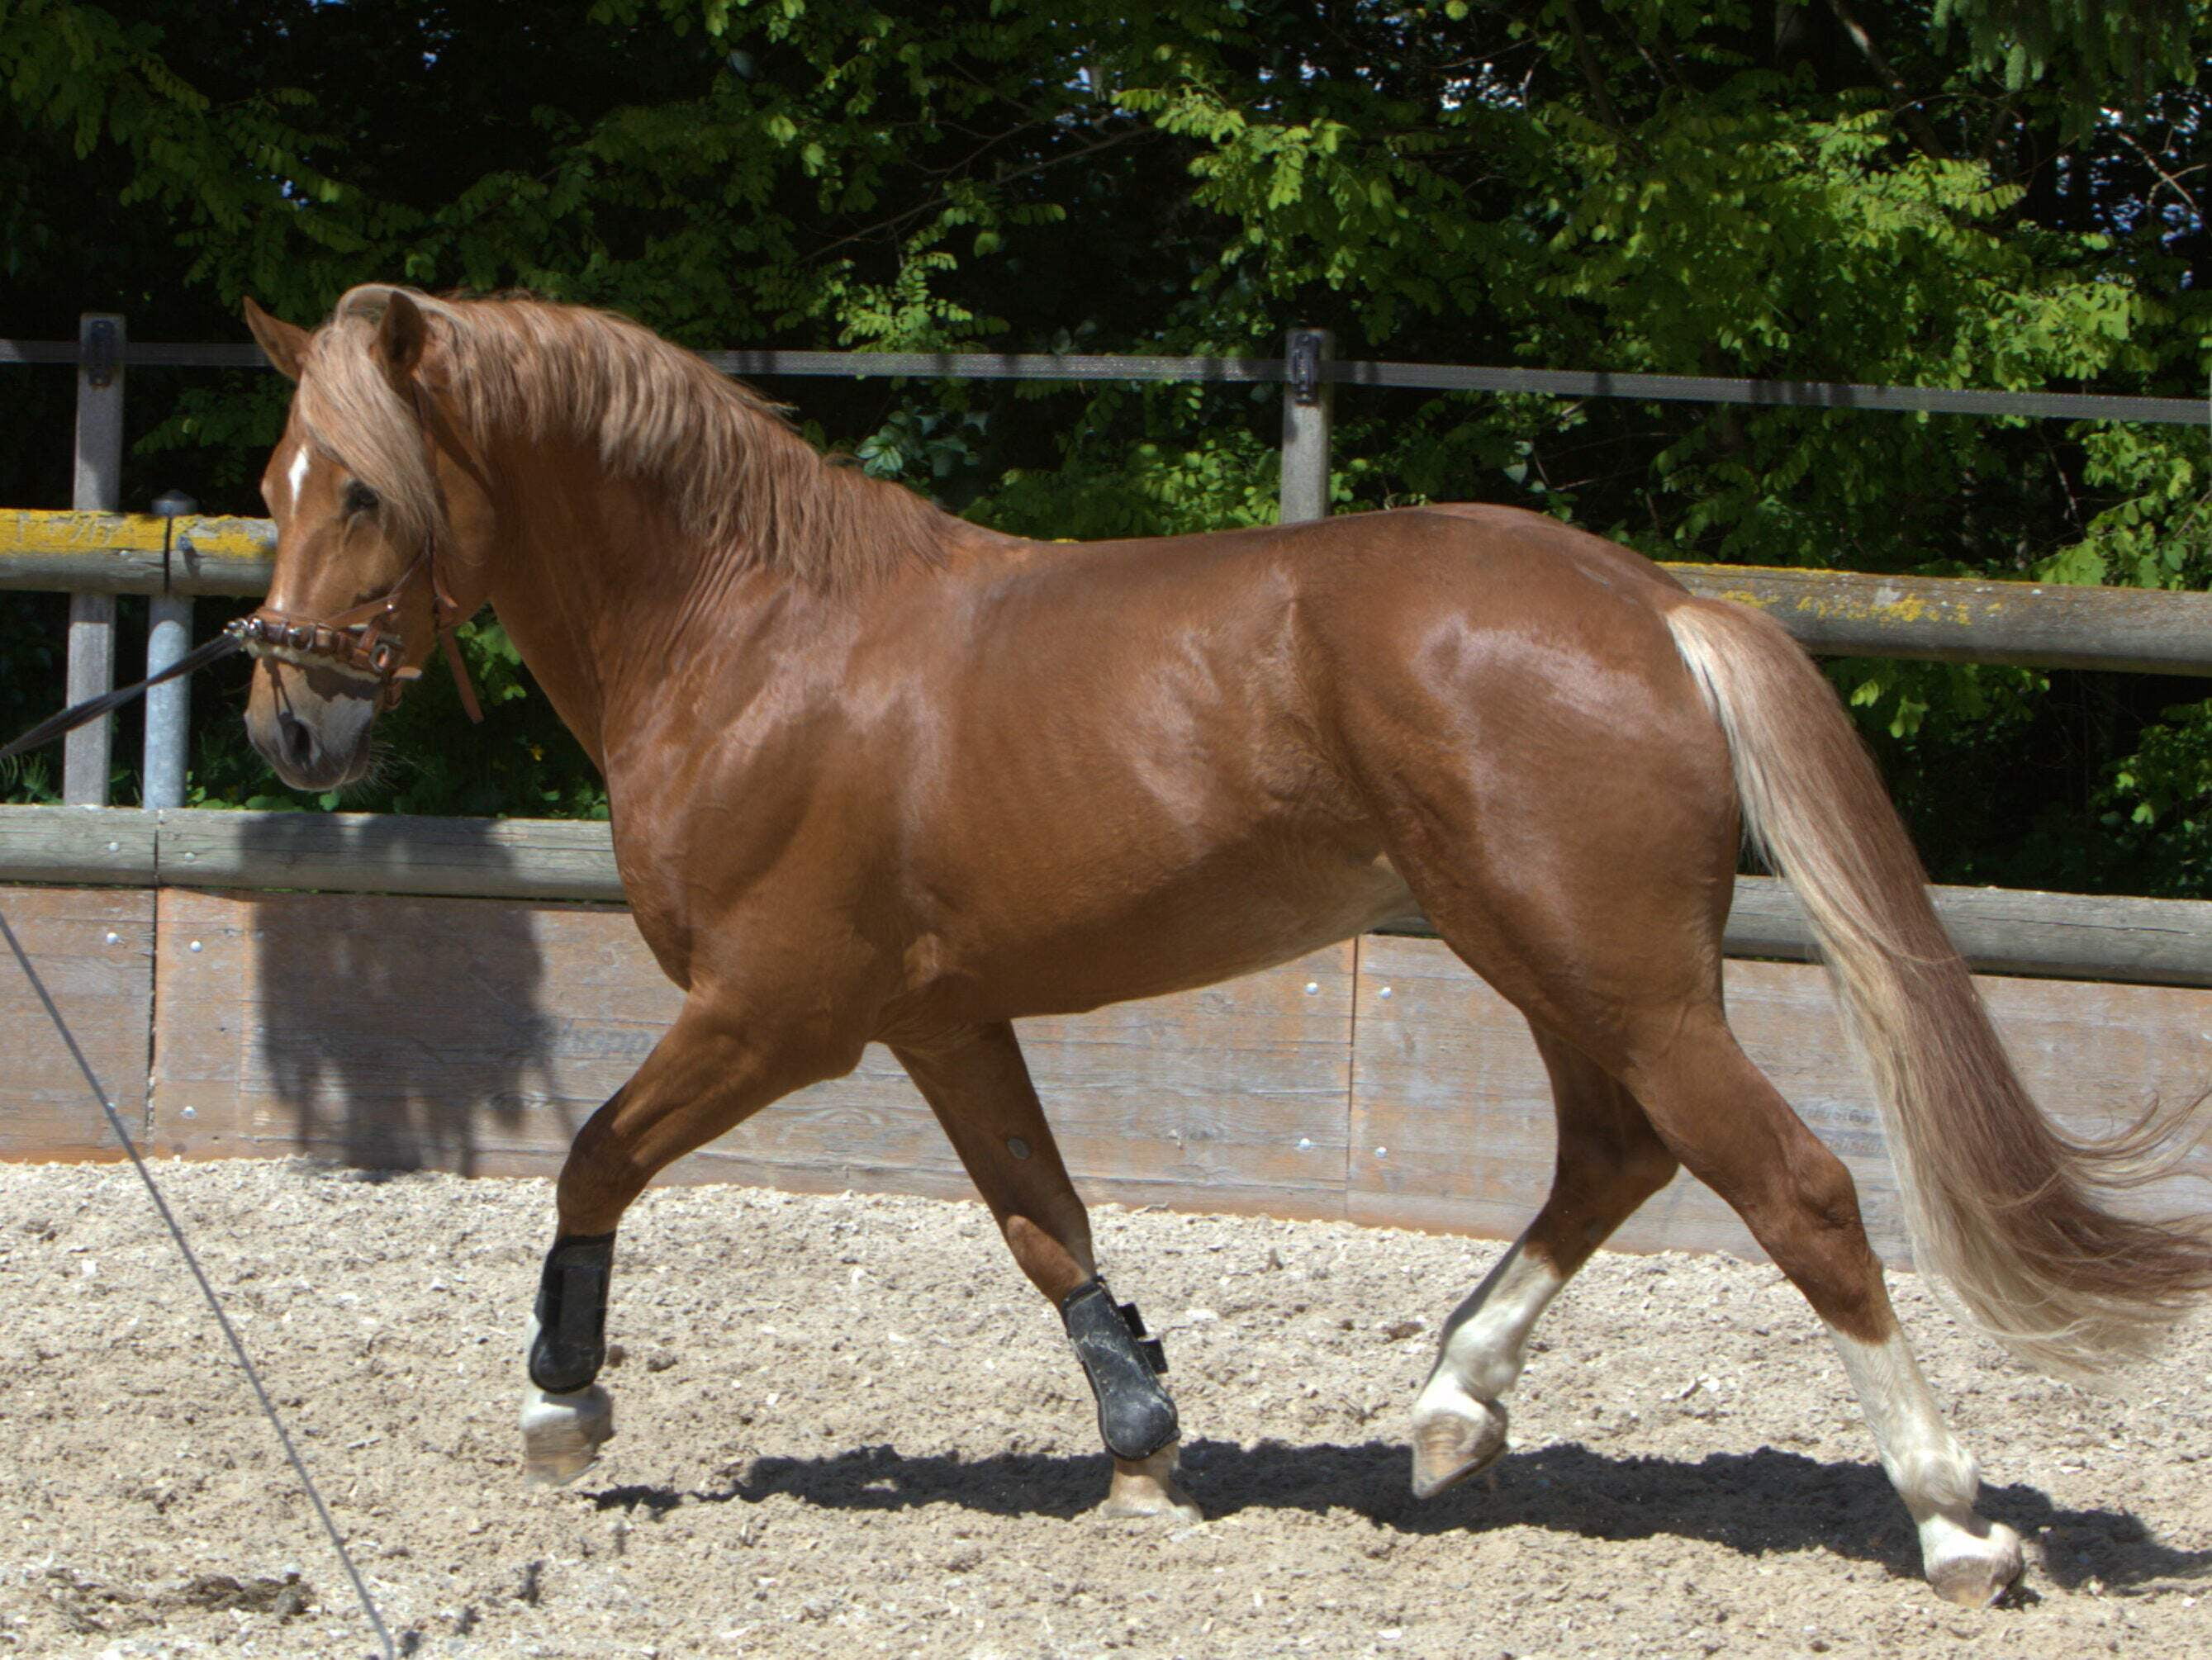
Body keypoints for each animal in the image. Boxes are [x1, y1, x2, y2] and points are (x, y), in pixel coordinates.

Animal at [236, 286, 2211, 1606]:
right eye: (274, 478)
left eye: (364, 491)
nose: (286, 726)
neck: (761, 640)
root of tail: (1650, 603)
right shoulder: (942, 1023)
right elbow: (1046, 1226)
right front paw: (1143, 1451)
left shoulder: (776, 1013)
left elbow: (591, 1156)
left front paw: (560, 1409)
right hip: (1551, 962)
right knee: (1616, 1153)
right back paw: (1449, 1411)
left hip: (1603, 967)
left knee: (1789, 1186)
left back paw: (1954, 1522)